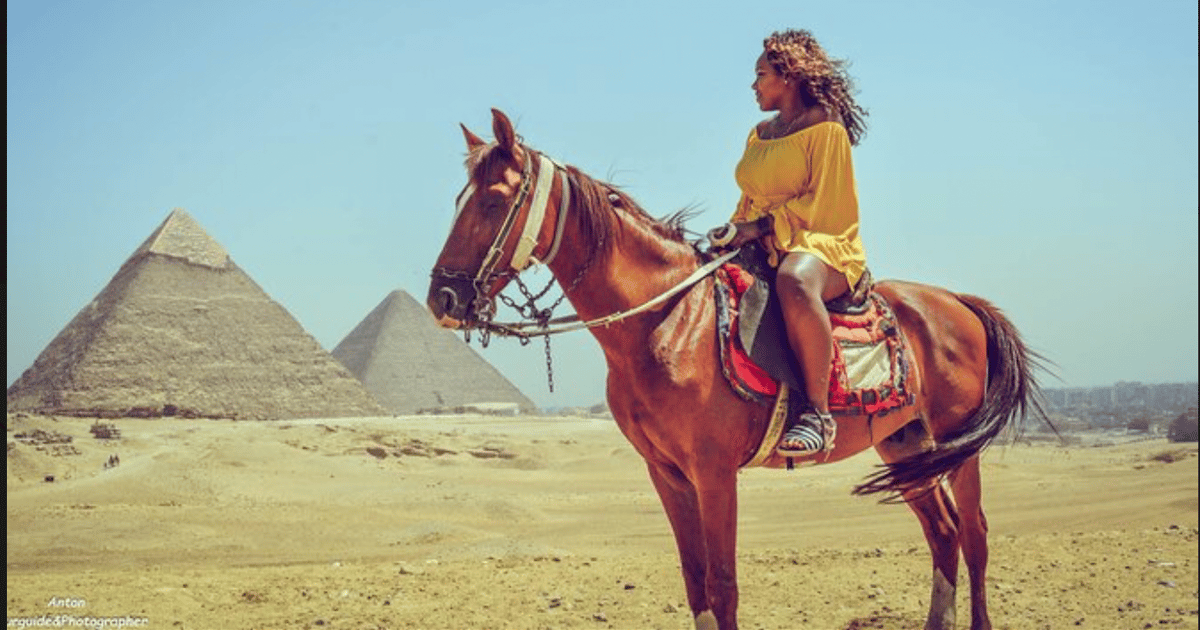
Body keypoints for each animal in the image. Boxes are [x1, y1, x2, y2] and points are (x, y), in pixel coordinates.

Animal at [427, 108, 1047, 630]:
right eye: (456, 200)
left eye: (493, 201)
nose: (443, 299)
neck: (664, 320)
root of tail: (959, 301)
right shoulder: (666, 473)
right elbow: (695, 580)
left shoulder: (714, 472)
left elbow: (723, 585)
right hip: (905, 442)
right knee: (943, 533)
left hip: (956, 442)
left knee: (974, 534)